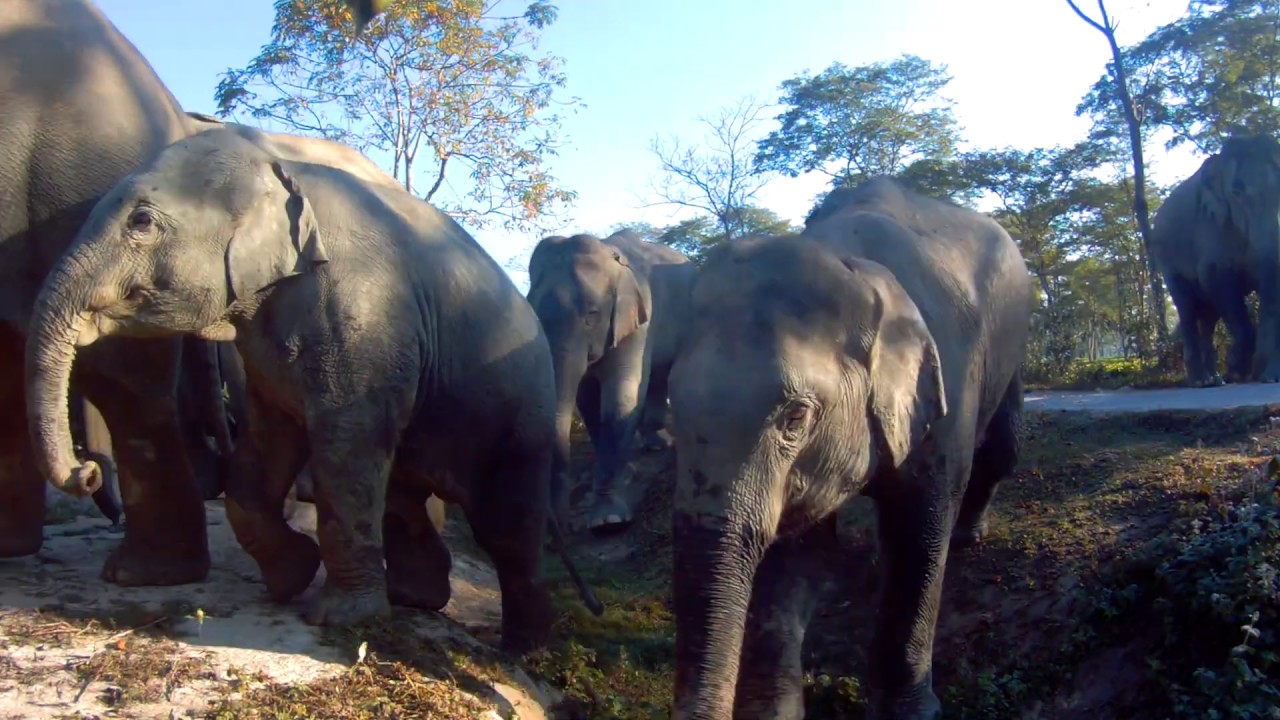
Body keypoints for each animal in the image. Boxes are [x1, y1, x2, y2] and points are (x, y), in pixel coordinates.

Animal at [24, 126, 600, 650]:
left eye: (141, 222)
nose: (87, 472)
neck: (278, 165)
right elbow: (266, 444)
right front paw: (293, 576)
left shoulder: (362, 317)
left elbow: (345, 448)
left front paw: (337, 619)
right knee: (404, 493)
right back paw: (417, 600)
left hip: (521, 409)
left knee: (504, 524)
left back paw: (522, 645)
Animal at [526, 231, 696, 532]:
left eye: (591, 315)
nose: (560, 527)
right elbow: (589, 402)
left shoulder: (640, 319)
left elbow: (620, 398)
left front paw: (609, 522)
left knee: (662, 374)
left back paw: (656, 445)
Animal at [667, 177, 1031, 720]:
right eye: (673, 404)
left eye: (795, 417)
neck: (850, 262)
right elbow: (795, 557)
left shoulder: (944, 385)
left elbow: (920, 534)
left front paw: (914, 714)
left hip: (1012, 343)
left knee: (1001, 448)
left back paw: (967, 536)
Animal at [1151, 134, 1280, 386]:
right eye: (1236, 192)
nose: (1259, 374)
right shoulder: (1211, 226)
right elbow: (1216, 279)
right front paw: (1237, 369)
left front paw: (1267, 376)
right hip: (1166, 260)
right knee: (1187, 308)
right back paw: (1200, 381)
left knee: (1208, 316)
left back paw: (1215, 380)